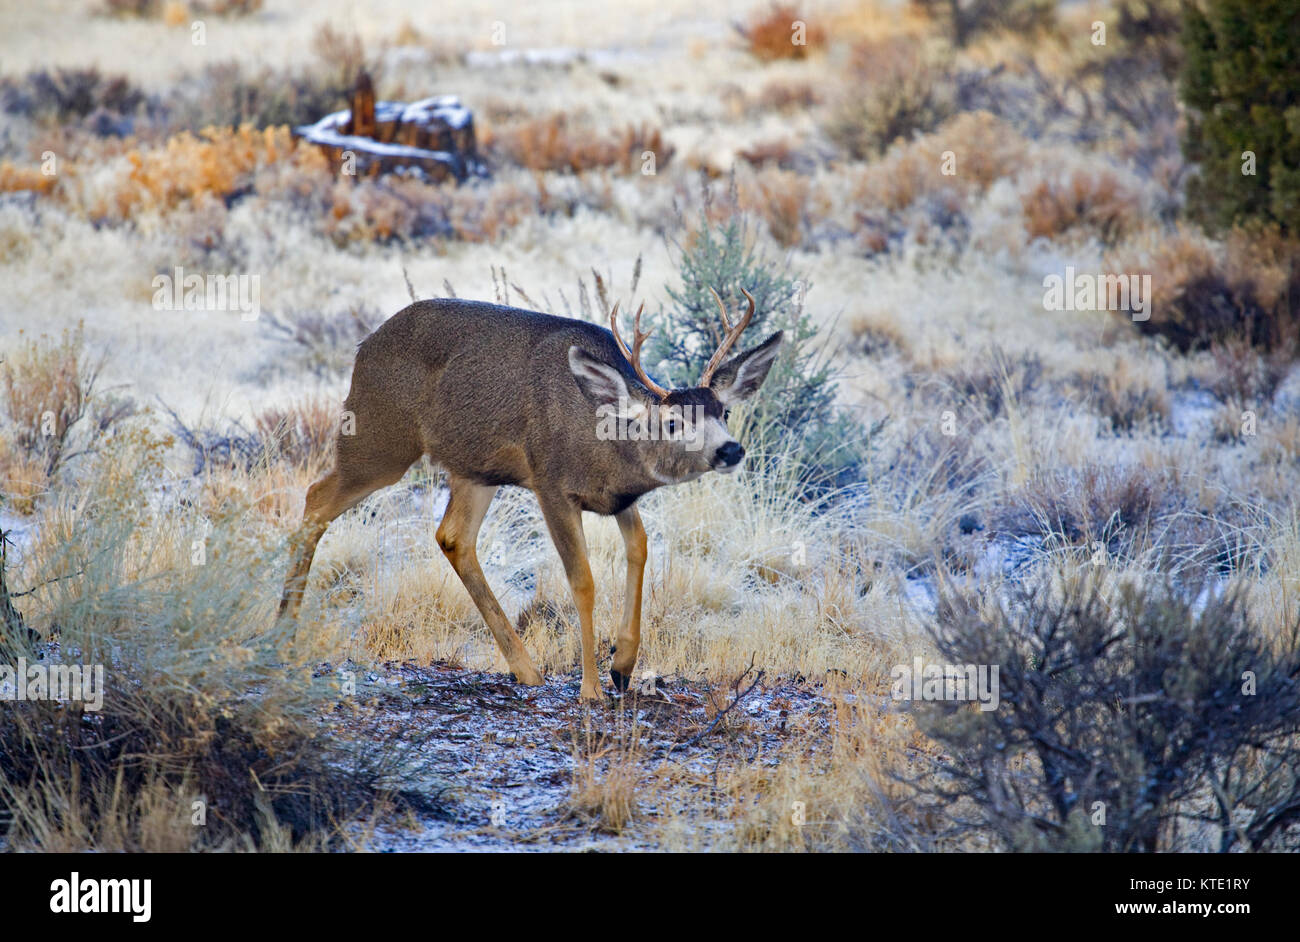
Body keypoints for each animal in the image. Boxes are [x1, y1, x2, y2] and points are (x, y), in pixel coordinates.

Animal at [277, 289, 783, 700]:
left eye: (725, 412)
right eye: (673, 423)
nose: (730, 449)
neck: (603, 439)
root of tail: (363, 347)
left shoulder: (620, 499)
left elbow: (639, 549)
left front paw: (622, 665)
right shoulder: (551, 483)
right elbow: (582, 580)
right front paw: (591, 689)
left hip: (474, 469)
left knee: (453, 537)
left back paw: (525, 669)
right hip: (379, 438)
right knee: (316, 498)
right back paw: (283, 632)